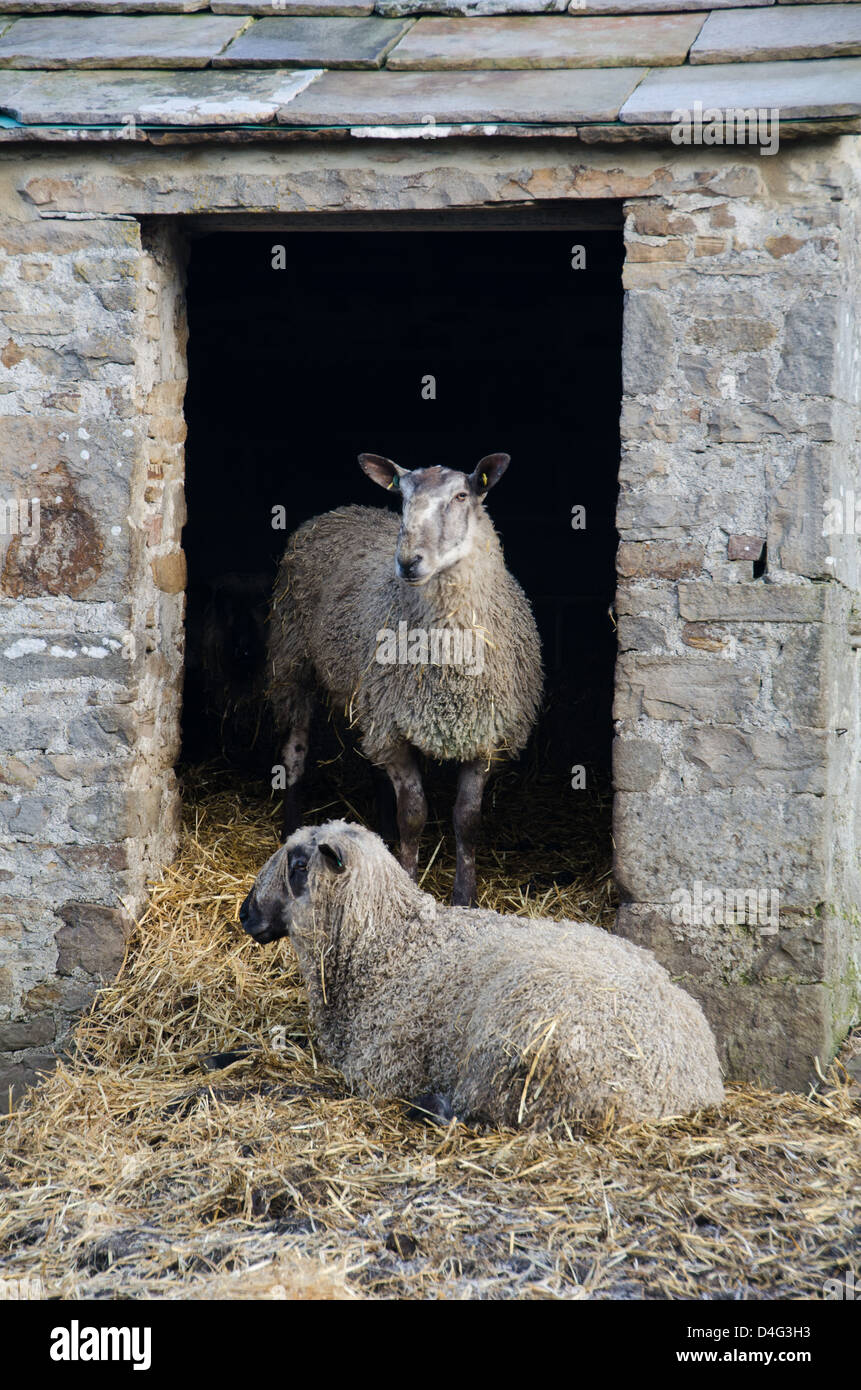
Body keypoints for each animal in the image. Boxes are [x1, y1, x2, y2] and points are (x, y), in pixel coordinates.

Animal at [239, 821, 725, 1128]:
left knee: (477, 1110)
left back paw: (428, 1105)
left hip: (512, 1045)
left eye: (298, 865)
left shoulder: (383, 1067)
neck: (388, 946)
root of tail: (694, 1082)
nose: (245, 913)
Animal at [267, 453, 543, 906]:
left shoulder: (485, 738)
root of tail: (342, 510)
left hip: (368, 704)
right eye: (403, 497)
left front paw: (464, 898)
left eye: (461, 495)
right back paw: (292, 826)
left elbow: (467, 820)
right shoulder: (396, 734)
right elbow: (413, 815)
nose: (409, 561)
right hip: (292, 660)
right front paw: (410, 881)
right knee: (294, 753)